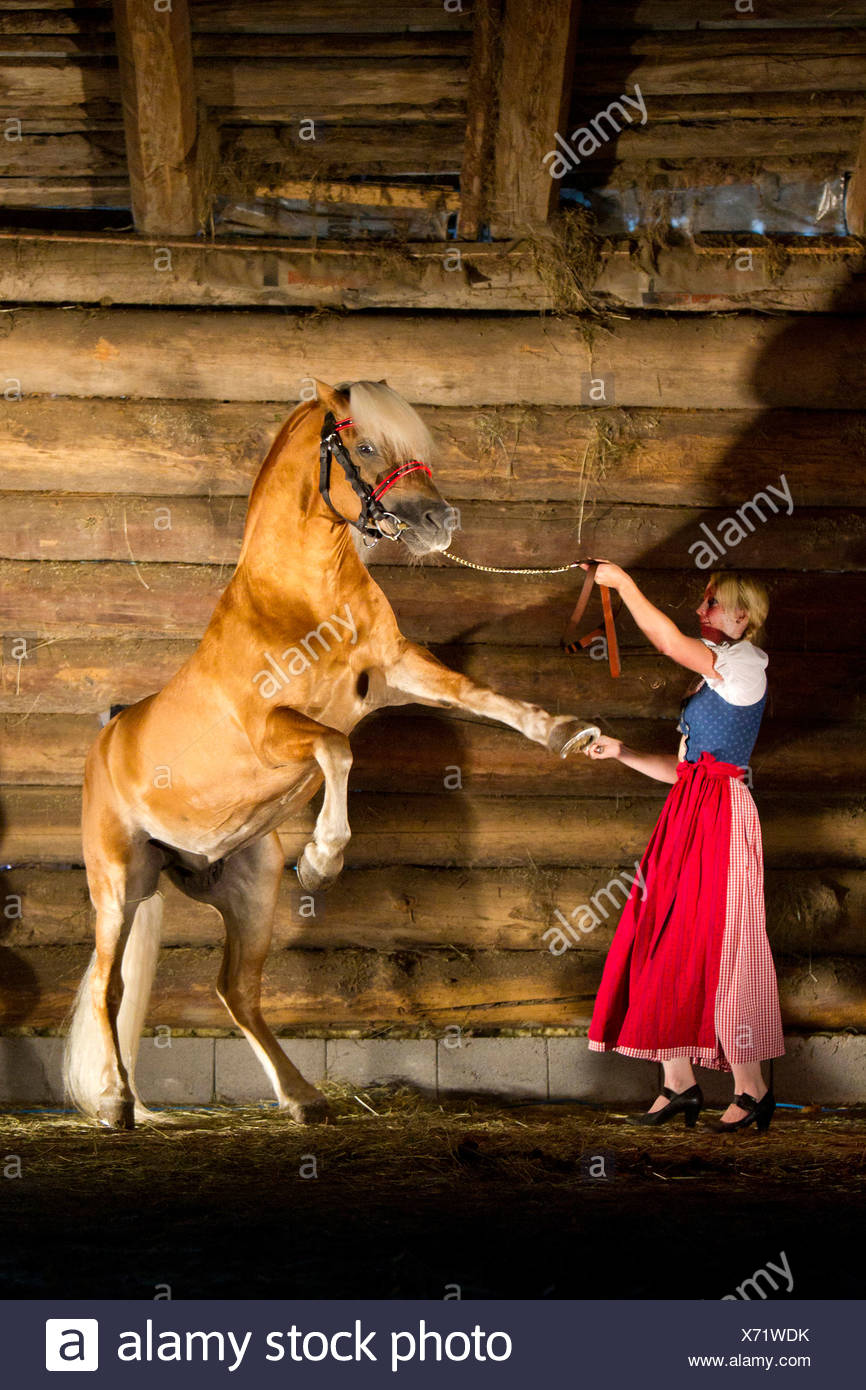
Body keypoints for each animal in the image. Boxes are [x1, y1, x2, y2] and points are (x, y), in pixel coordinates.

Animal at [63, 378, 598, 1129]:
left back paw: (303, 1098)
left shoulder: (396, 672)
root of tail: (110, 734)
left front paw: (563, 732)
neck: (299, 601)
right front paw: (322, 859)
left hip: (249, 886)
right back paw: (115, 1103)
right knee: (108, 988)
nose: (439, 519)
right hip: (118, 886)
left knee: (236, 990)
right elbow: (337, 748)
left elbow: (478, 695)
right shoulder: (274, 730)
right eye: (366, 446)